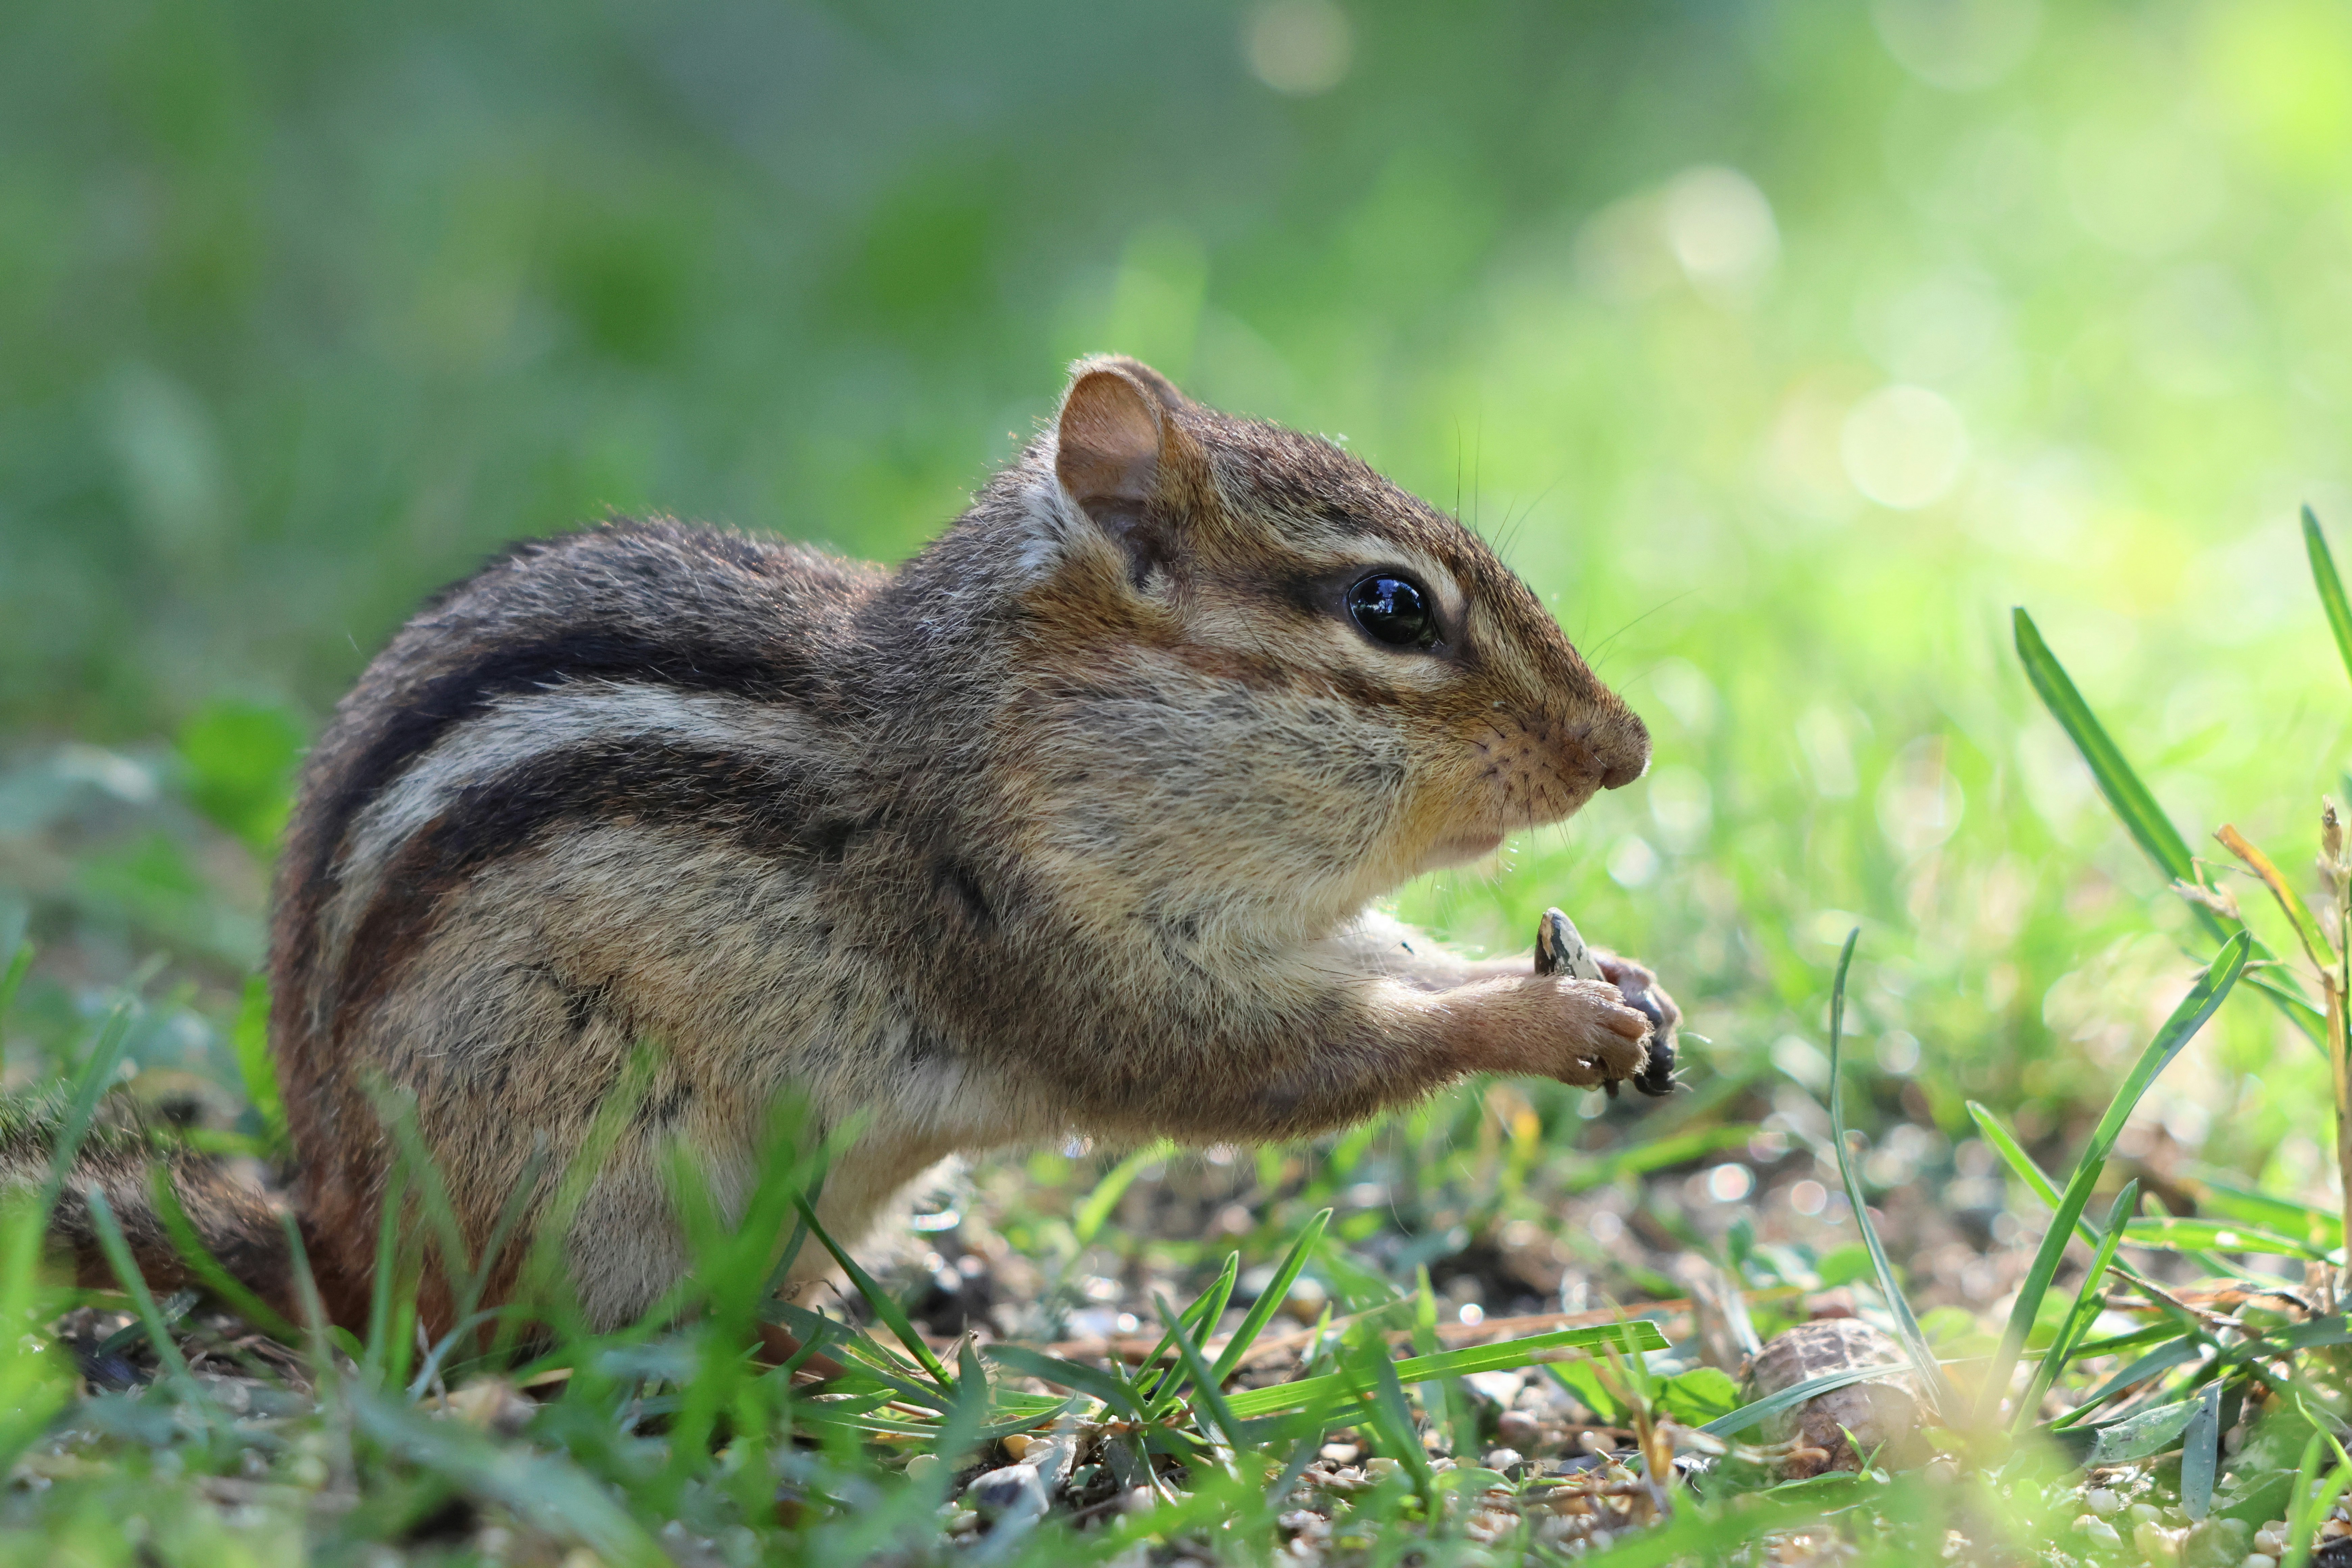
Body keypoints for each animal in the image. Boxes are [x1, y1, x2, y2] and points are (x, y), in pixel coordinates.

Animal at [13, 356, 1677, 1336]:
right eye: (1391, 608)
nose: (1627, 746)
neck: (1008, 734)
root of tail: (334, 1230)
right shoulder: (1052, 945)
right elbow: (1256, 1062)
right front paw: (1539, 1017)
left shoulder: (1280, 923)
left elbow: (1381, 963)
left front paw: (1619, 982)